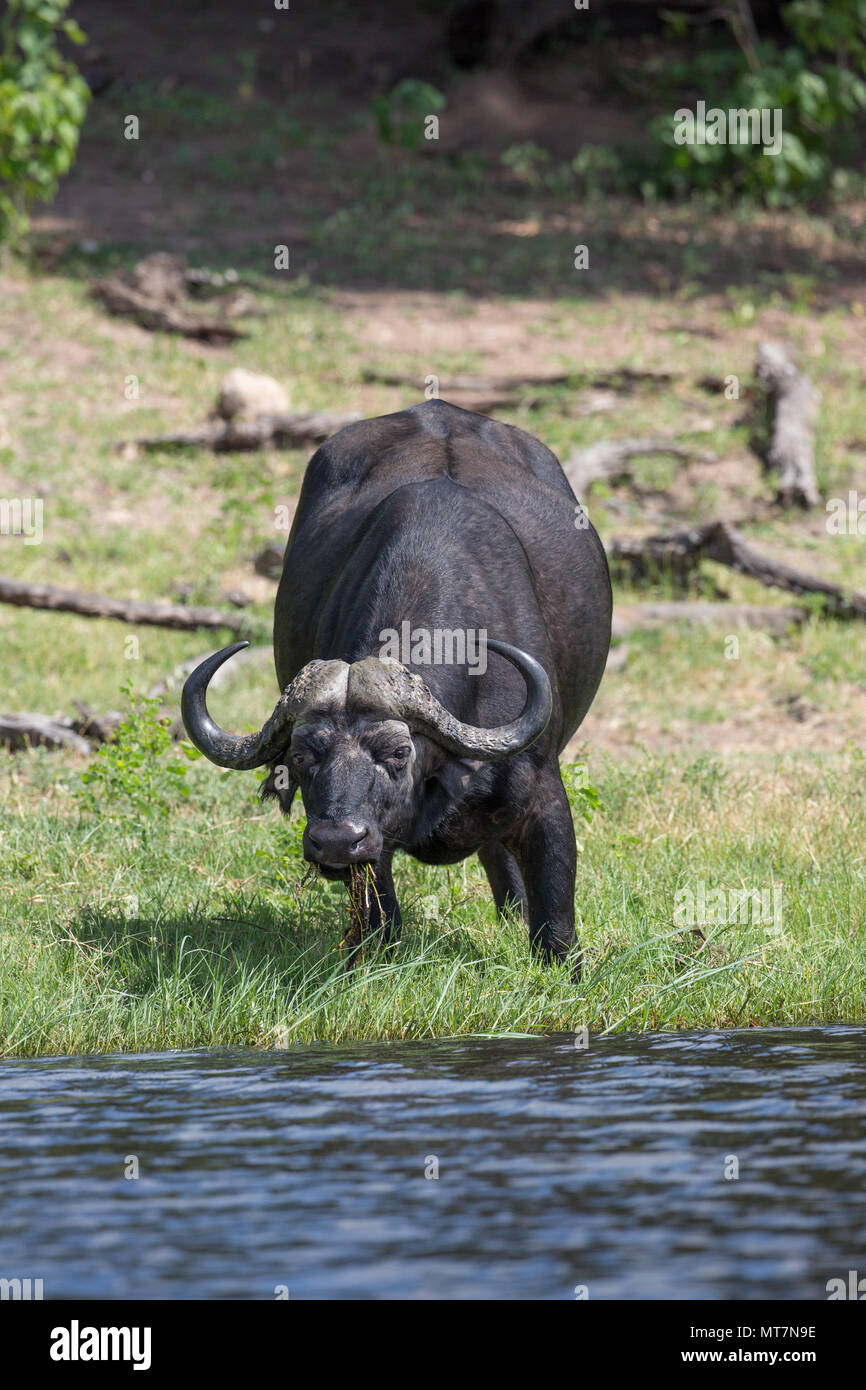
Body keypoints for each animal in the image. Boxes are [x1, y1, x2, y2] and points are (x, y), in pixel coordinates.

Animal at [182, 399, 611, 965]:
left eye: (398, 753)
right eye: (302, 756)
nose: (335, 840)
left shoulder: (545, 797)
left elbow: (556, 919)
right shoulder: (374, 844)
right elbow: (380, 917)